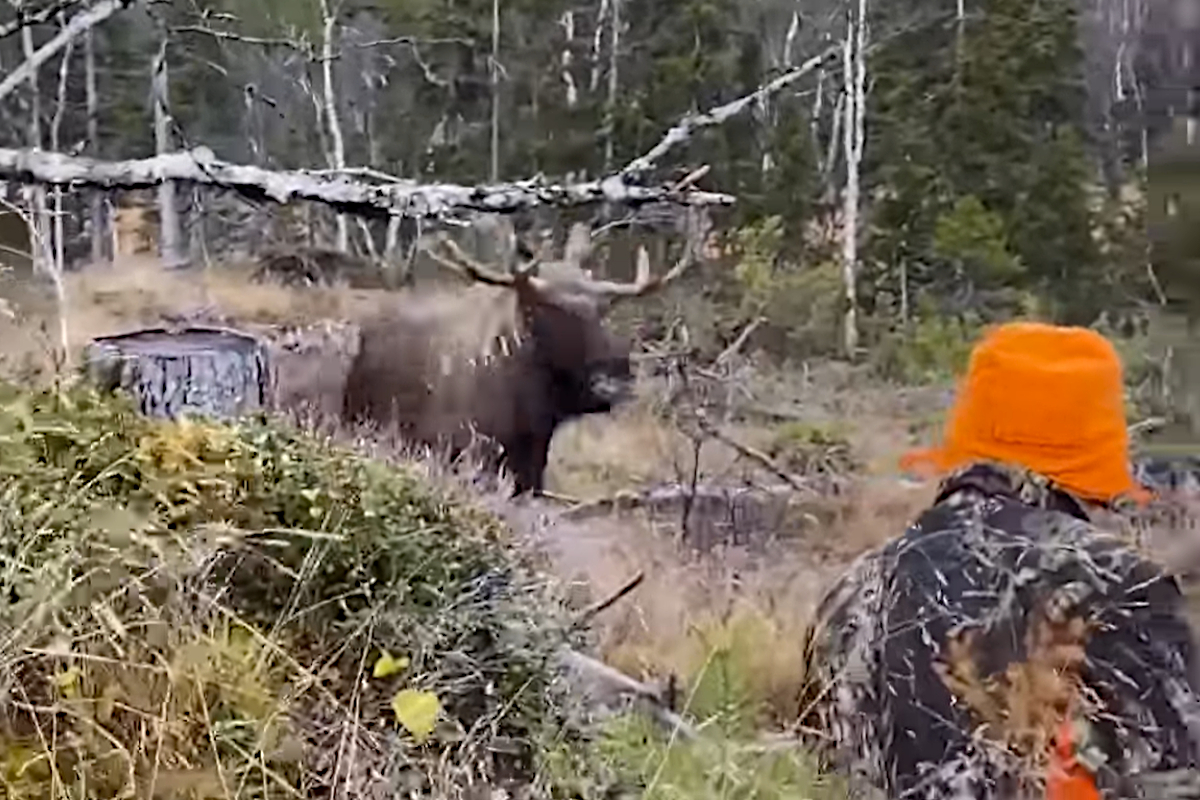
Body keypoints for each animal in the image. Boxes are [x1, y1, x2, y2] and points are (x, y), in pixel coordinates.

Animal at [341, 220, 696, 496]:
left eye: (602, 310)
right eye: (539, 312)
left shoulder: (531, 468)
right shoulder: (460, 448)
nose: (613, 381)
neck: (527, 418)